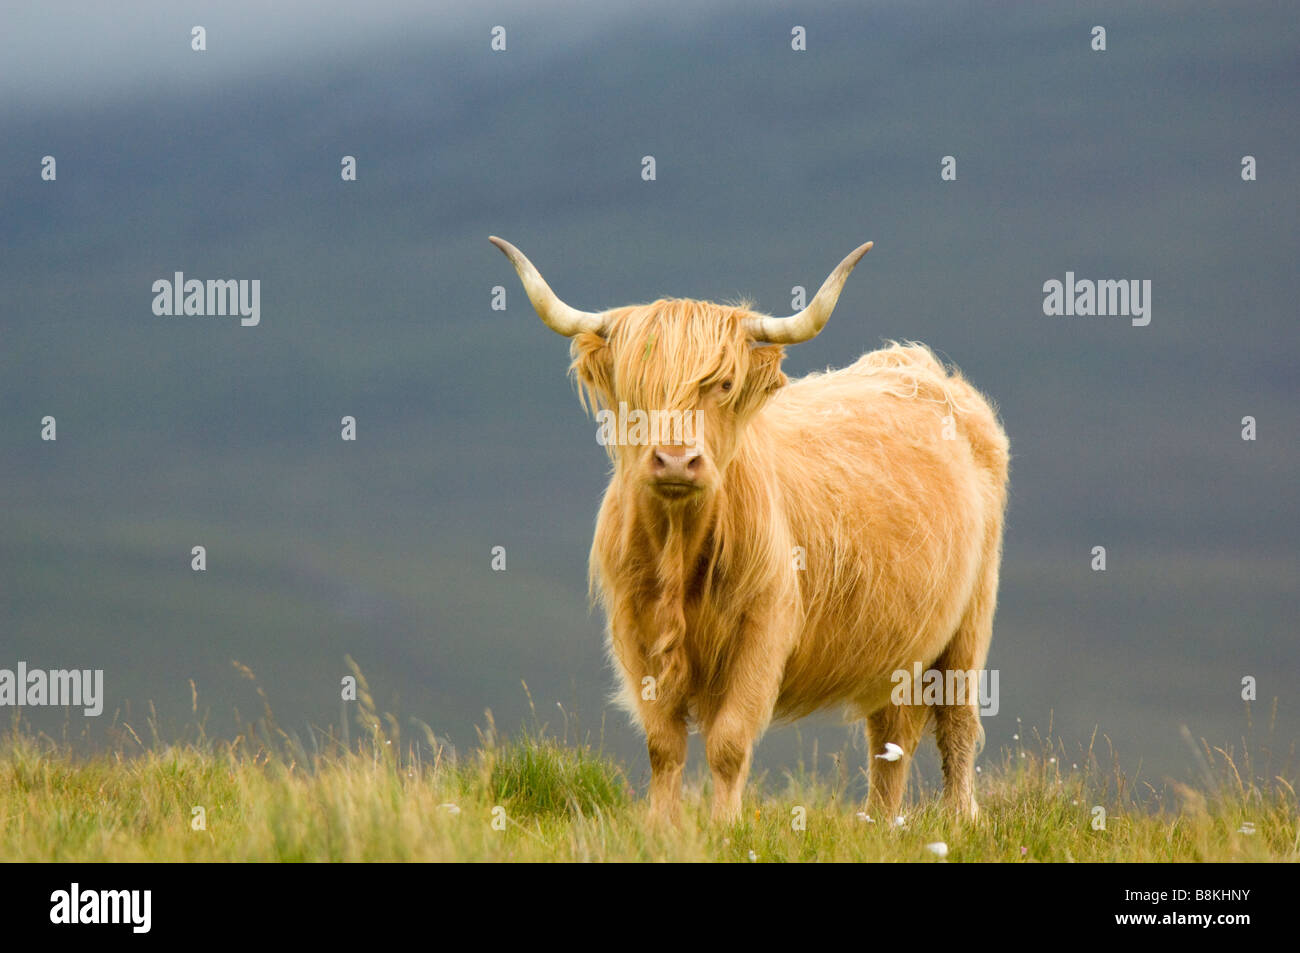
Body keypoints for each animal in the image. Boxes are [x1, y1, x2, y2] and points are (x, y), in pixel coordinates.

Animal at [491, 236, 1010, 825]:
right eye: (635, 389)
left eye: (723, 383)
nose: (675, 460)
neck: (680, 553)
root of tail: (915, 363)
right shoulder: (633, 631)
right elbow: (662, 744)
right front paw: (660, 826)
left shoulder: (764, 631)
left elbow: (729, 742)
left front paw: (724, 826)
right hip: (900, 644)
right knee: (891, 735)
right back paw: (880, 822)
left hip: (971, 620)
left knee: (956, 721)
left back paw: (960, 818)